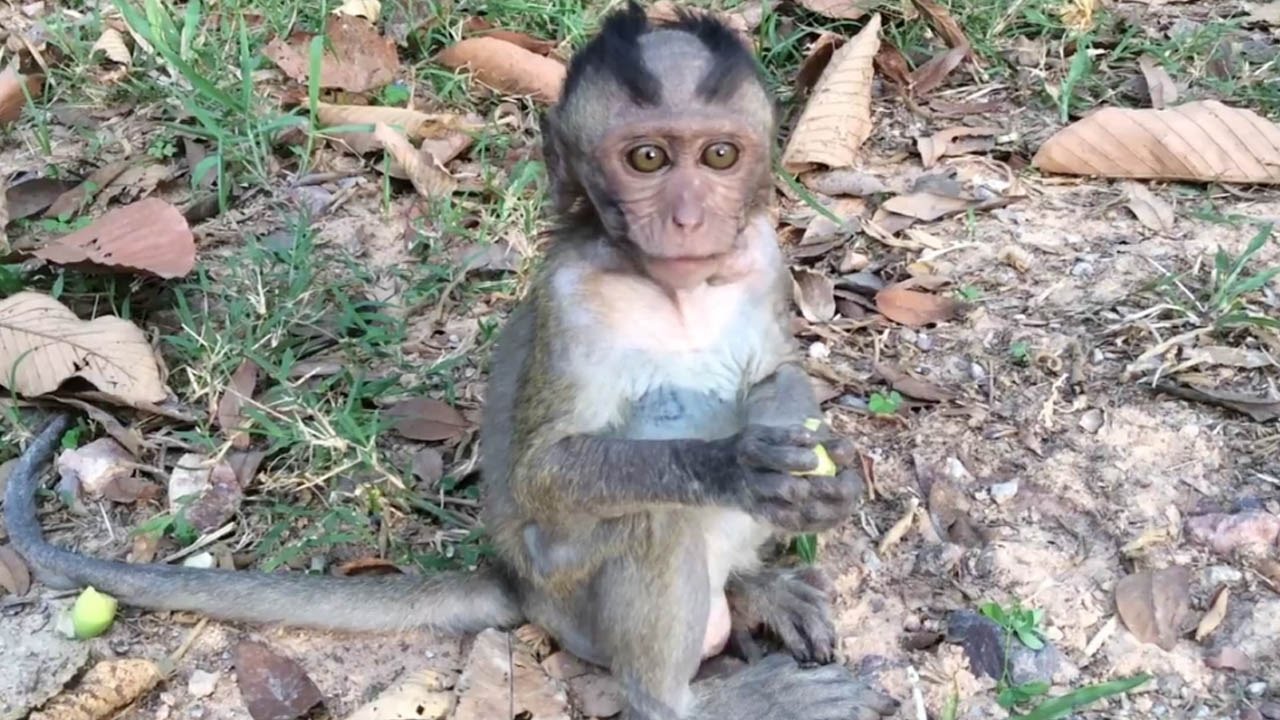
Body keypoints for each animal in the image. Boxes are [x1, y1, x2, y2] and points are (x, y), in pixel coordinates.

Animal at [4, 5, 898, 720]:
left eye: (718, 157)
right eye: (647, 160)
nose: (686, 218)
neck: (672, 289)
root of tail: (521, 589)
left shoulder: (762, 256)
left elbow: (776, 377)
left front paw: (826, 474)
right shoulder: (574, 297)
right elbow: (546, 473)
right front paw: (732, 464)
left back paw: (755, 586)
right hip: (571, 599)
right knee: (653, 519)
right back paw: (685, 697)